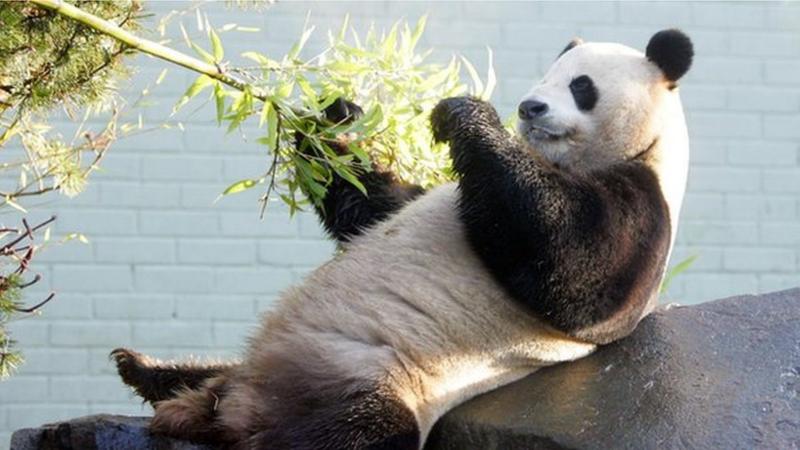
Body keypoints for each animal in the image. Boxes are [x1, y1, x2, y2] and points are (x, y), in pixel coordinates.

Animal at [112, 29, 693, 450]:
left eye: (580, 85)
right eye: (547, 75)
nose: (529, 107)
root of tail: (234, 406)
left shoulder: (644, 209)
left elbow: (577, 275)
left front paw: (465, 114)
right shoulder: (433, 193)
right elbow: (373, 203)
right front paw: (330, 117)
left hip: (370, 376)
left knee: (351, 430)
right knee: (220, 369)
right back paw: (149, 372)